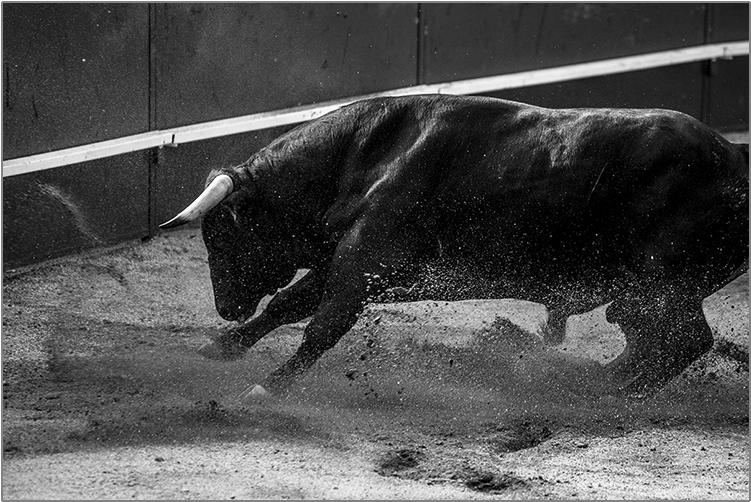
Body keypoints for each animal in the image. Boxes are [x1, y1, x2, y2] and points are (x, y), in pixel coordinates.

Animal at [160, 94, 749, 399]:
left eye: (224, 233)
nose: (224, 307)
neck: (364, 157)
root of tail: (735, 163)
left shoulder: (365, 260)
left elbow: (323, 323)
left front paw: (270, 386)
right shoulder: (352, 261)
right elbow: (289, 305)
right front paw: (220, 348)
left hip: (659, 287)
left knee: (681, 341)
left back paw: (602, 392)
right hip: (648, 293)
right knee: (657, 343)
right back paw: (593, 381)